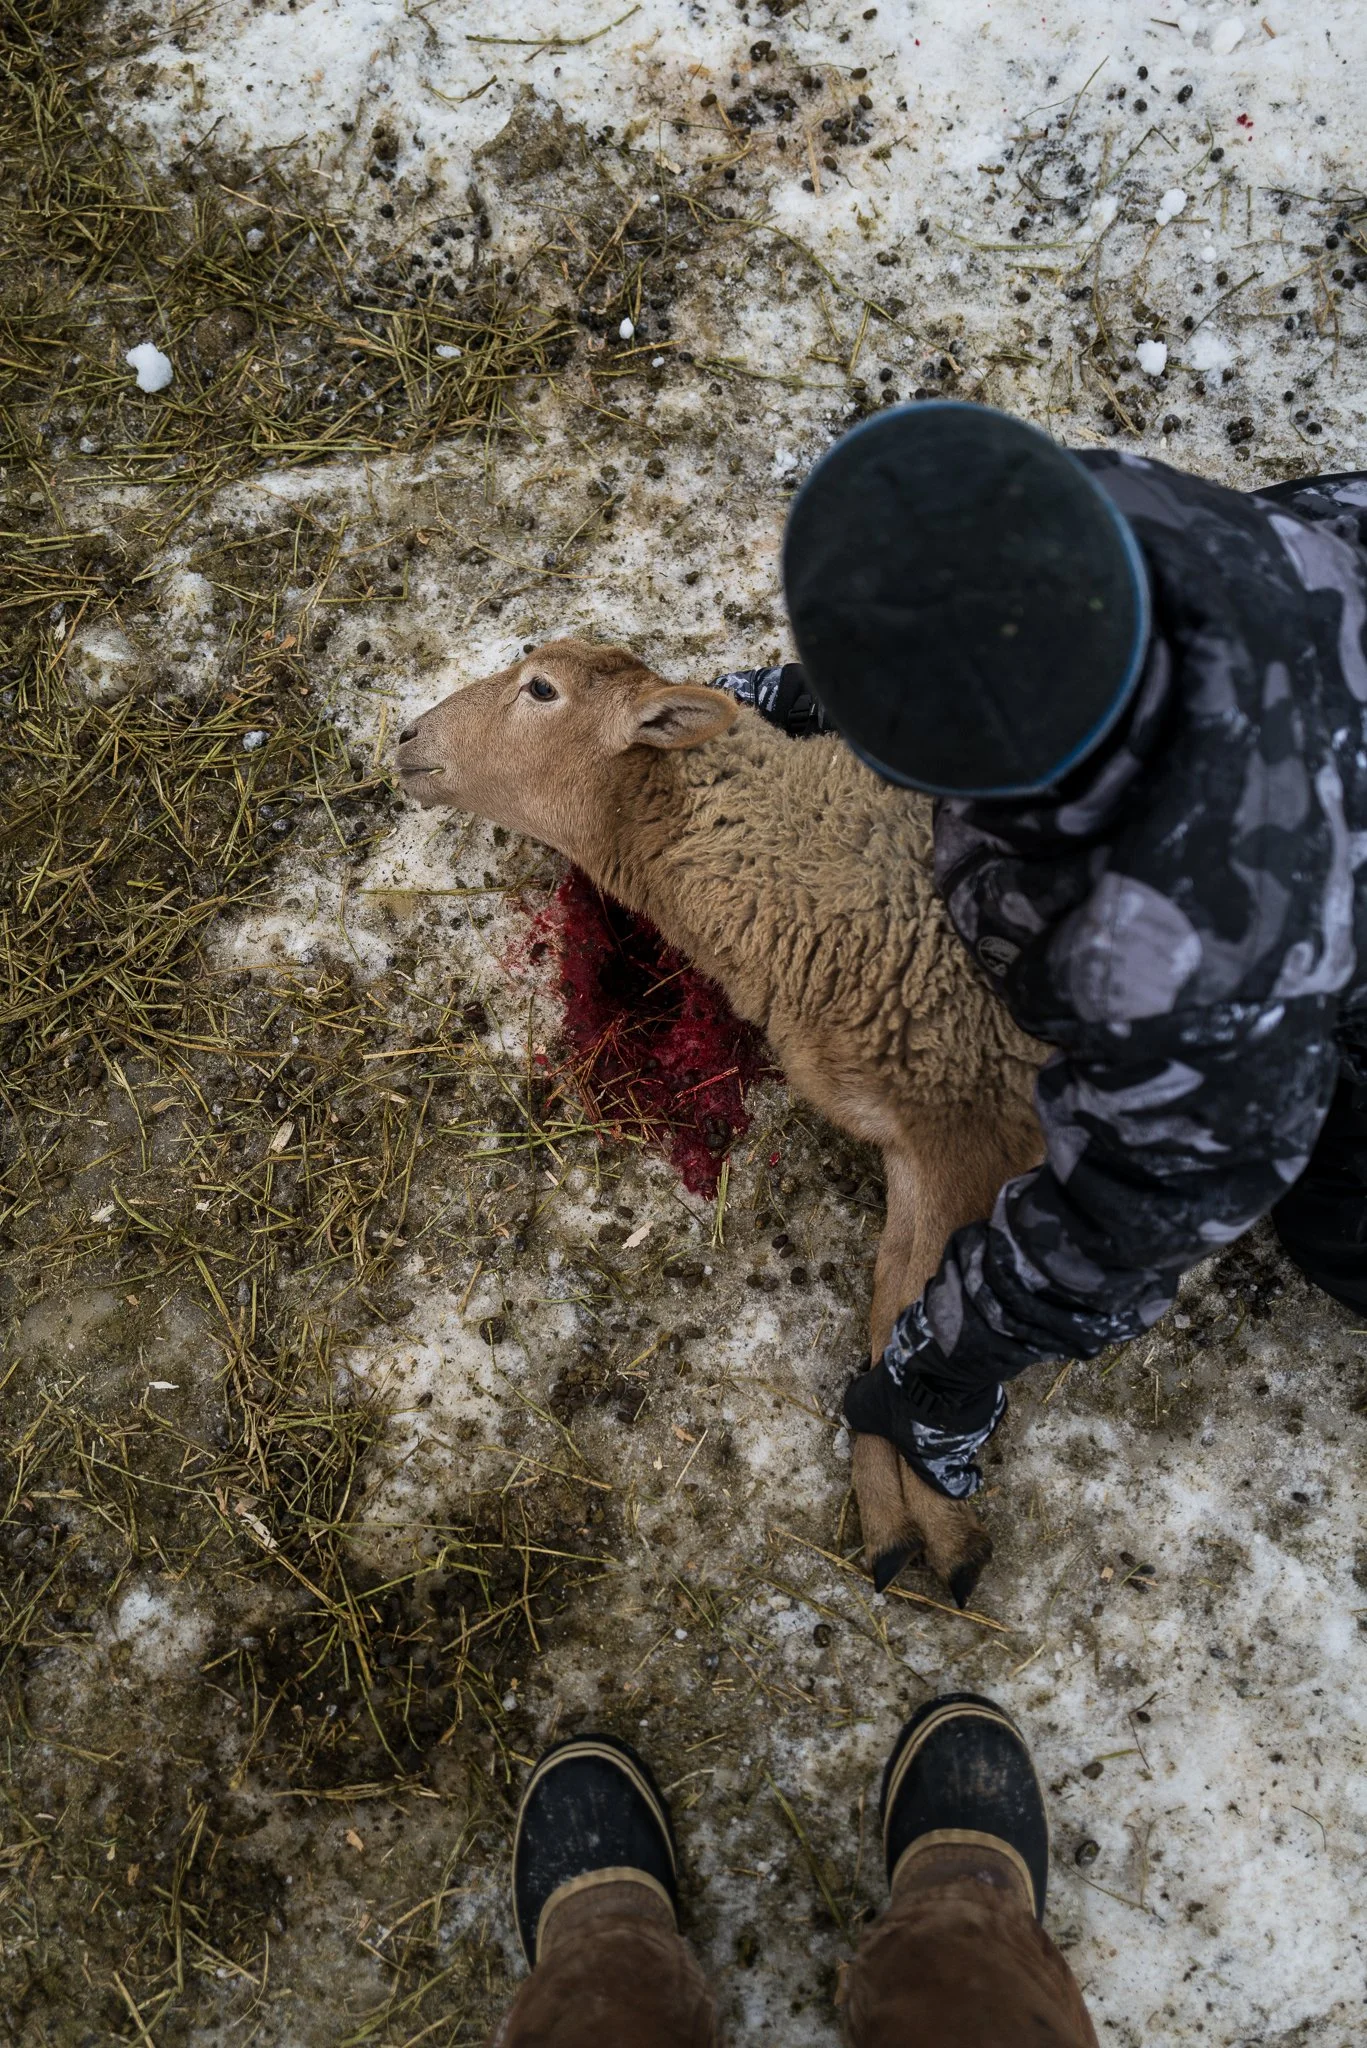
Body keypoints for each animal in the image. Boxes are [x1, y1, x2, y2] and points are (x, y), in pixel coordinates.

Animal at [396, 639, 1046, 1606]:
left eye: (541, 690)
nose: (406, 738)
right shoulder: (913, 1143)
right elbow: (888, 1308)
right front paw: (894, 1515)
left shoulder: (970, 1121)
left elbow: (916, 1311)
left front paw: (937, 1520)